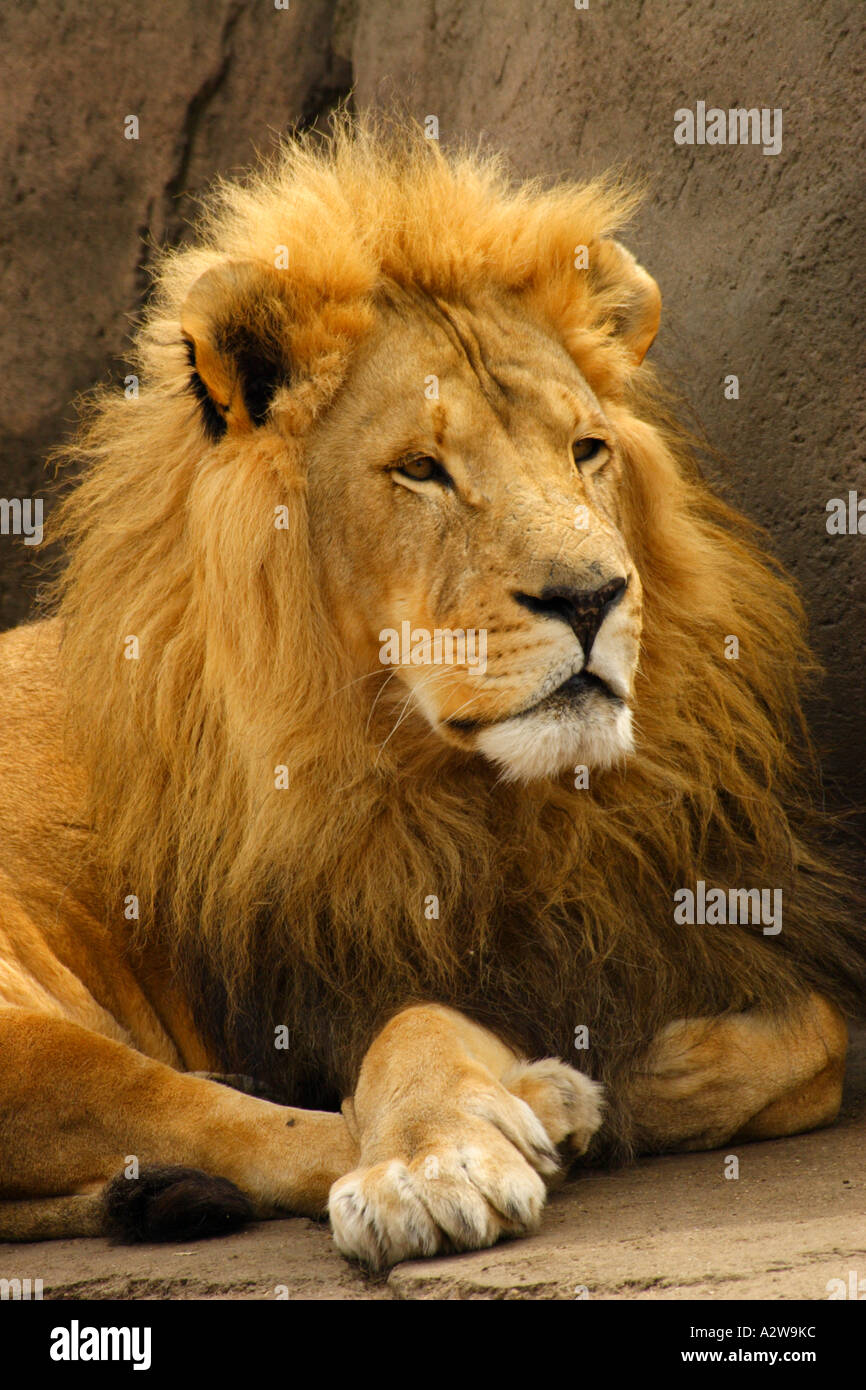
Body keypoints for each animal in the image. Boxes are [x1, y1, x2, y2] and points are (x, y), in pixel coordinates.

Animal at [0, 117, 862, 1268]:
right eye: (420, 469)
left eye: (586, 450)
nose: (592, 596)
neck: (481, 795)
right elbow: (401, 1036)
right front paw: (435, 1159)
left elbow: (814, 1031)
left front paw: (645, 1069)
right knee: (216, 1120)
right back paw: (543, 1103)